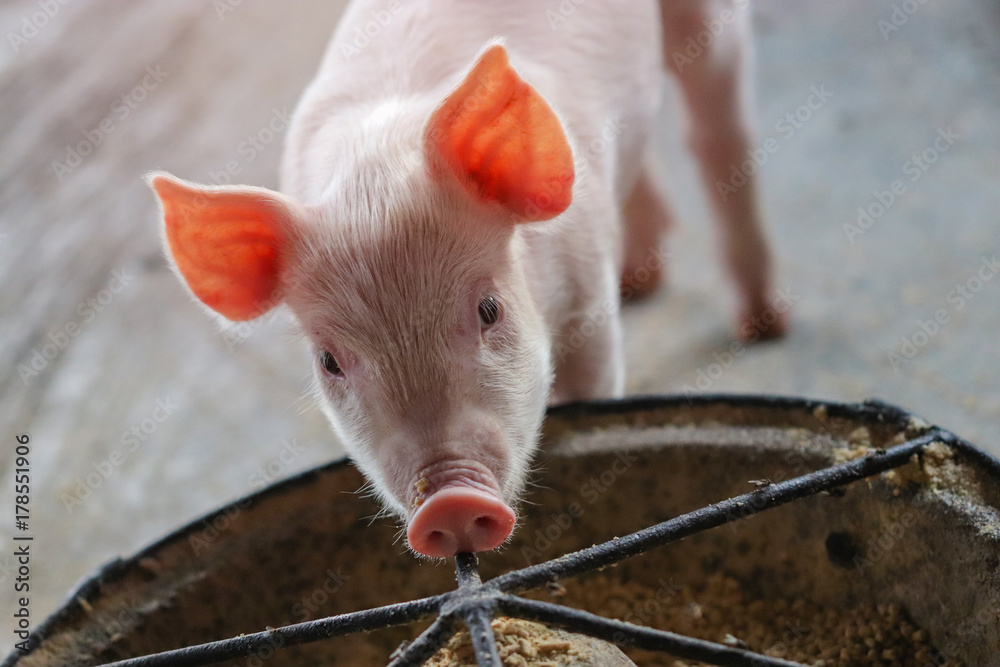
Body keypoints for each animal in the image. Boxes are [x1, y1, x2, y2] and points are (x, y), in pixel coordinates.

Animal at [148, 0, 785, 559]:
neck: (371, 177)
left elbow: (595, 387)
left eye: (489, 309)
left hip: (711, 33)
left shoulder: (589, 304)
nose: (449, 502)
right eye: (329, 362)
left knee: (721, 136)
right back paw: (641, 283)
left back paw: (764, 325)